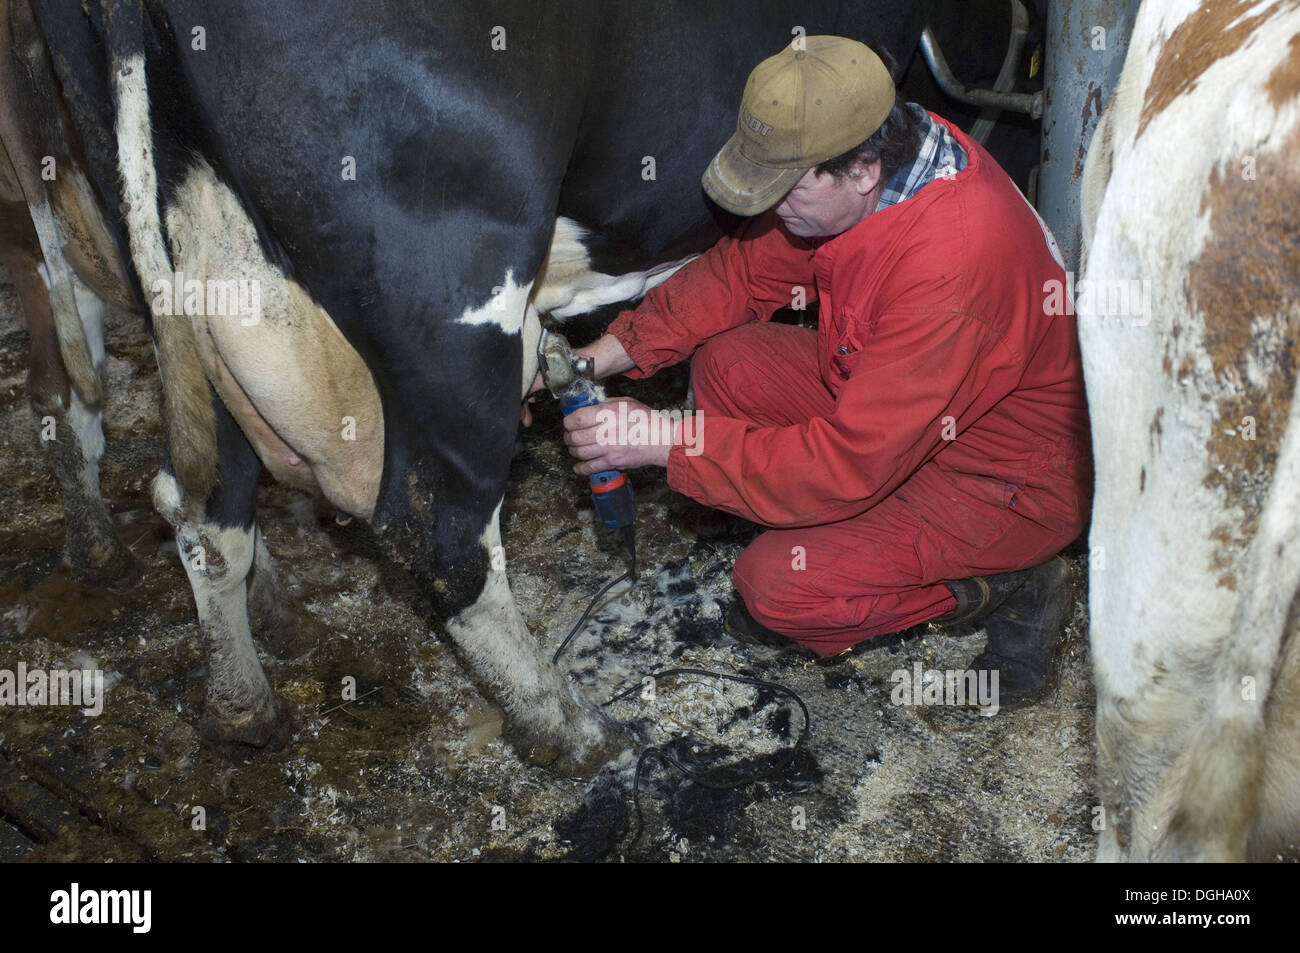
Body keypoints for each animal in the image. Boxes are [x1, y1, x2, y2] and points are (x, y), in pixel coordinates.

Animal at [21, 0, 935, 776]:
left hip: (187, 272)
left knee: (205, 505)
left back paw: (246, 700)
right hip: (455, 280)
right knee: (443, 542)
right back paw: (569, 728)